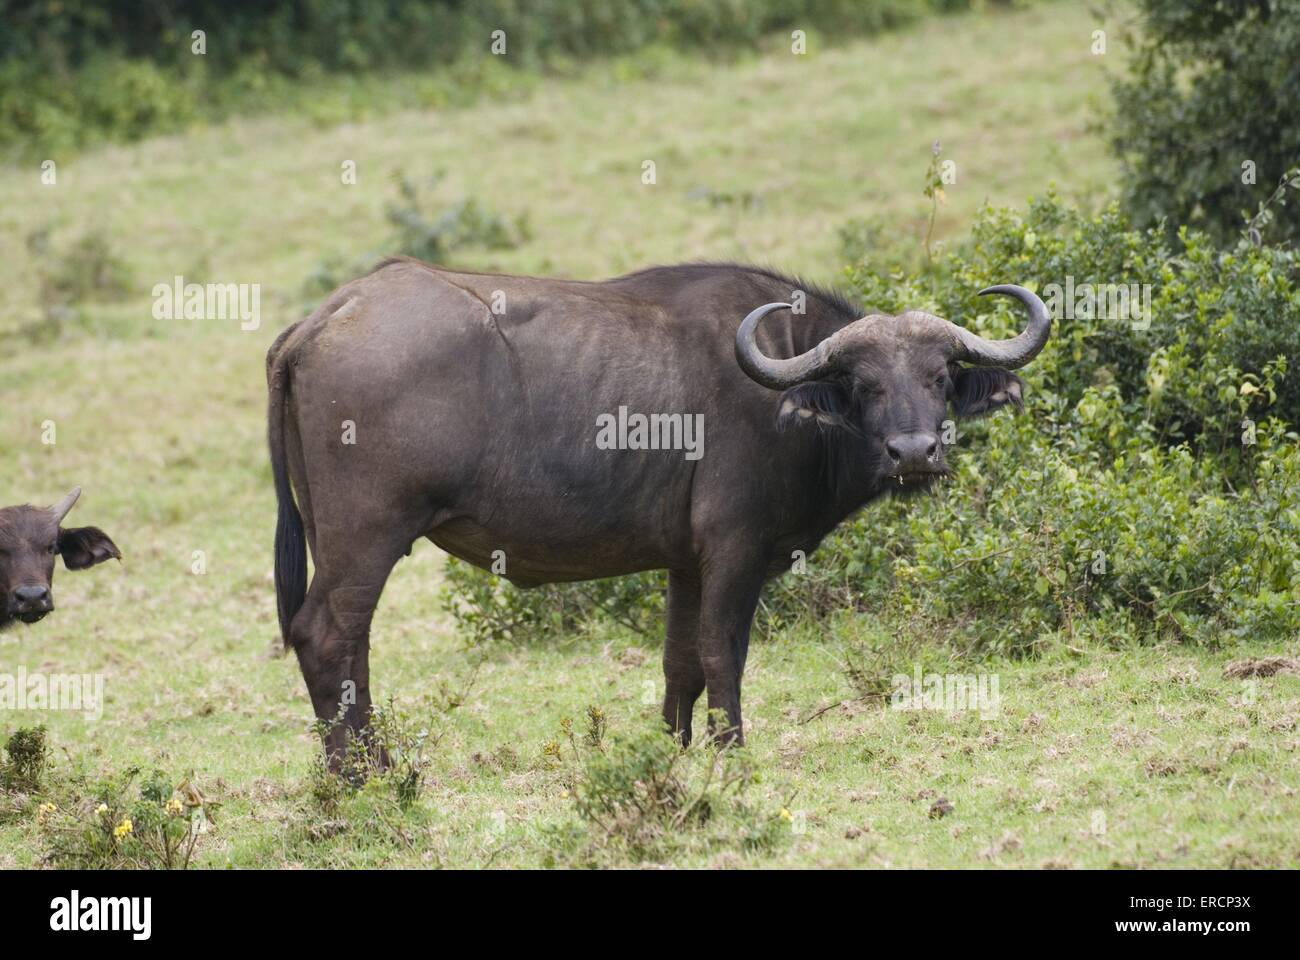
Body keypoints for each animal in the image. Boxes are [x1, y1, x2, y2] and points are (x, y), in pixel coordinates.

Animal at [267, 258, 1049, 762]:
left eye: (940, 376)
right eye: (863, 384)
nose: (915, 453)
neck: (784, 388)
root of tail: (321, 320)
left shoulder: (685, 563)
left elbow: (680, 661)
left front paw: (672, 752)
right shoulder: (736, 551)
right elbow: (722, 652)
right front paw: (731, 752)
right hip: (367, 538)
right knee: (329, 637)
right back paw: (363, 773)